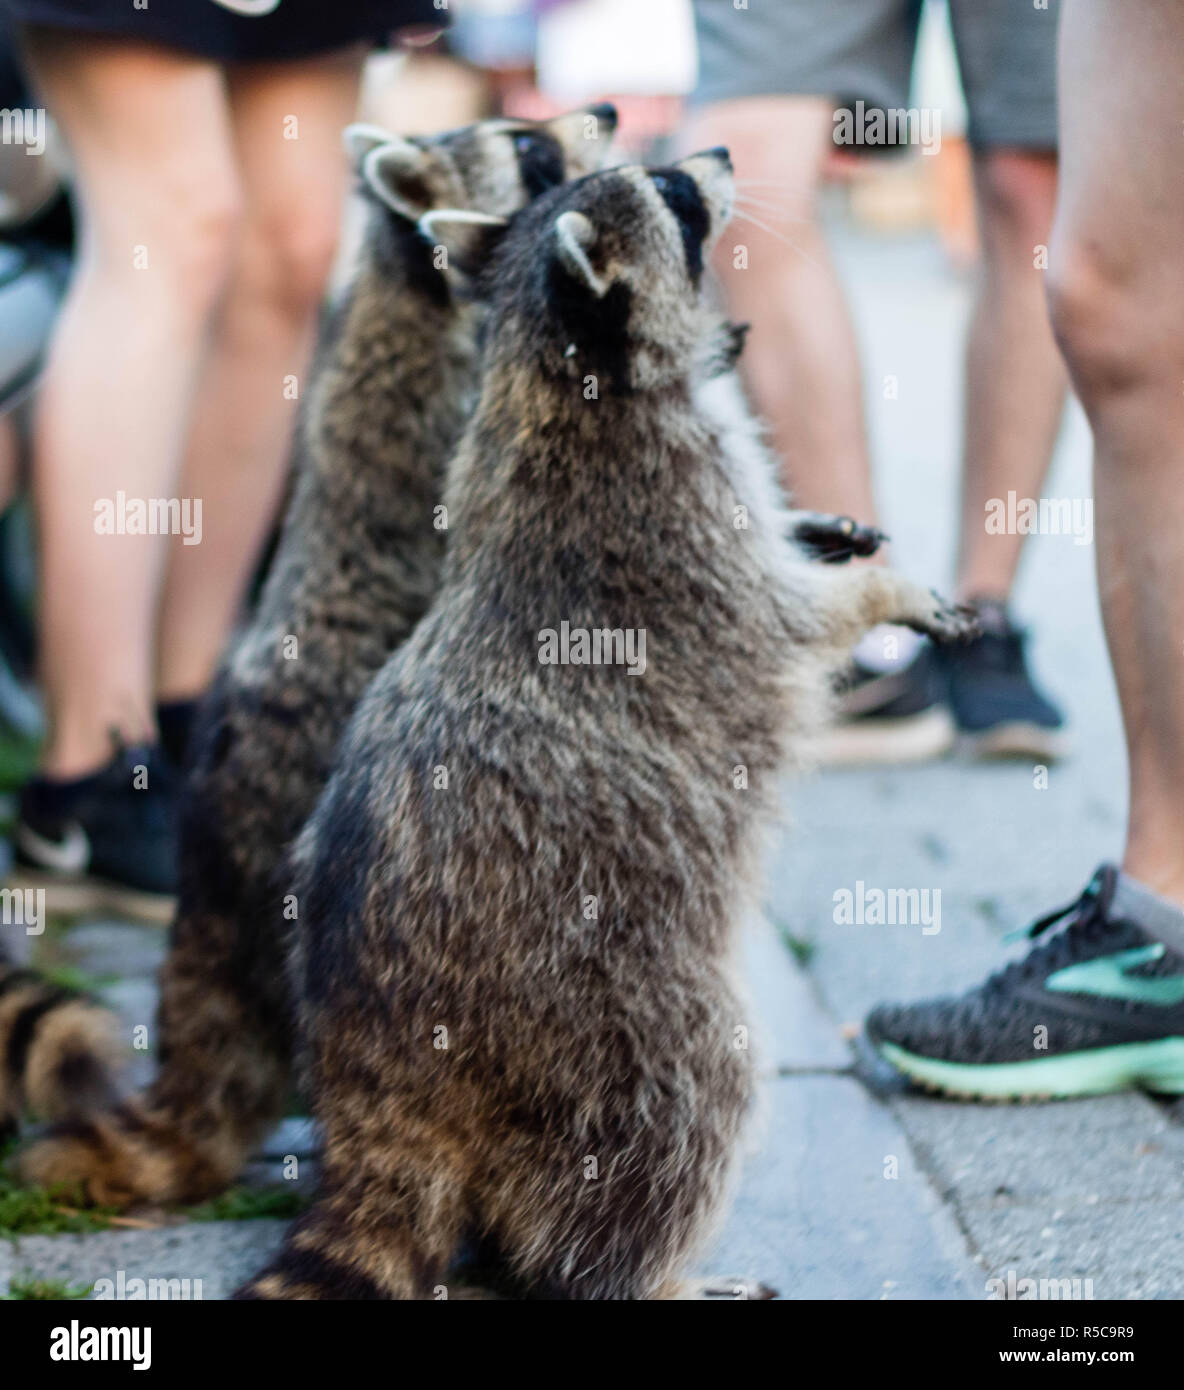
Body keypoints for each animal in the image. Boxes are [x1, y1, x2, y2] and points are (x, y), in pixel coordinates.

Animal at [236, 152, 975, 1300]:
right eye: (672, 192)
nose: (718, 159)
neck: (544, 360)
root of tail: (375, 1060)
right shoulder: (678, 522)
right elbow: (795, 617)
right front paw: (879, 594)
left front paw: (817, 526)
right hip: (607, 1004)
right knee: (681, 1111)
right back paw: (649, 1272)